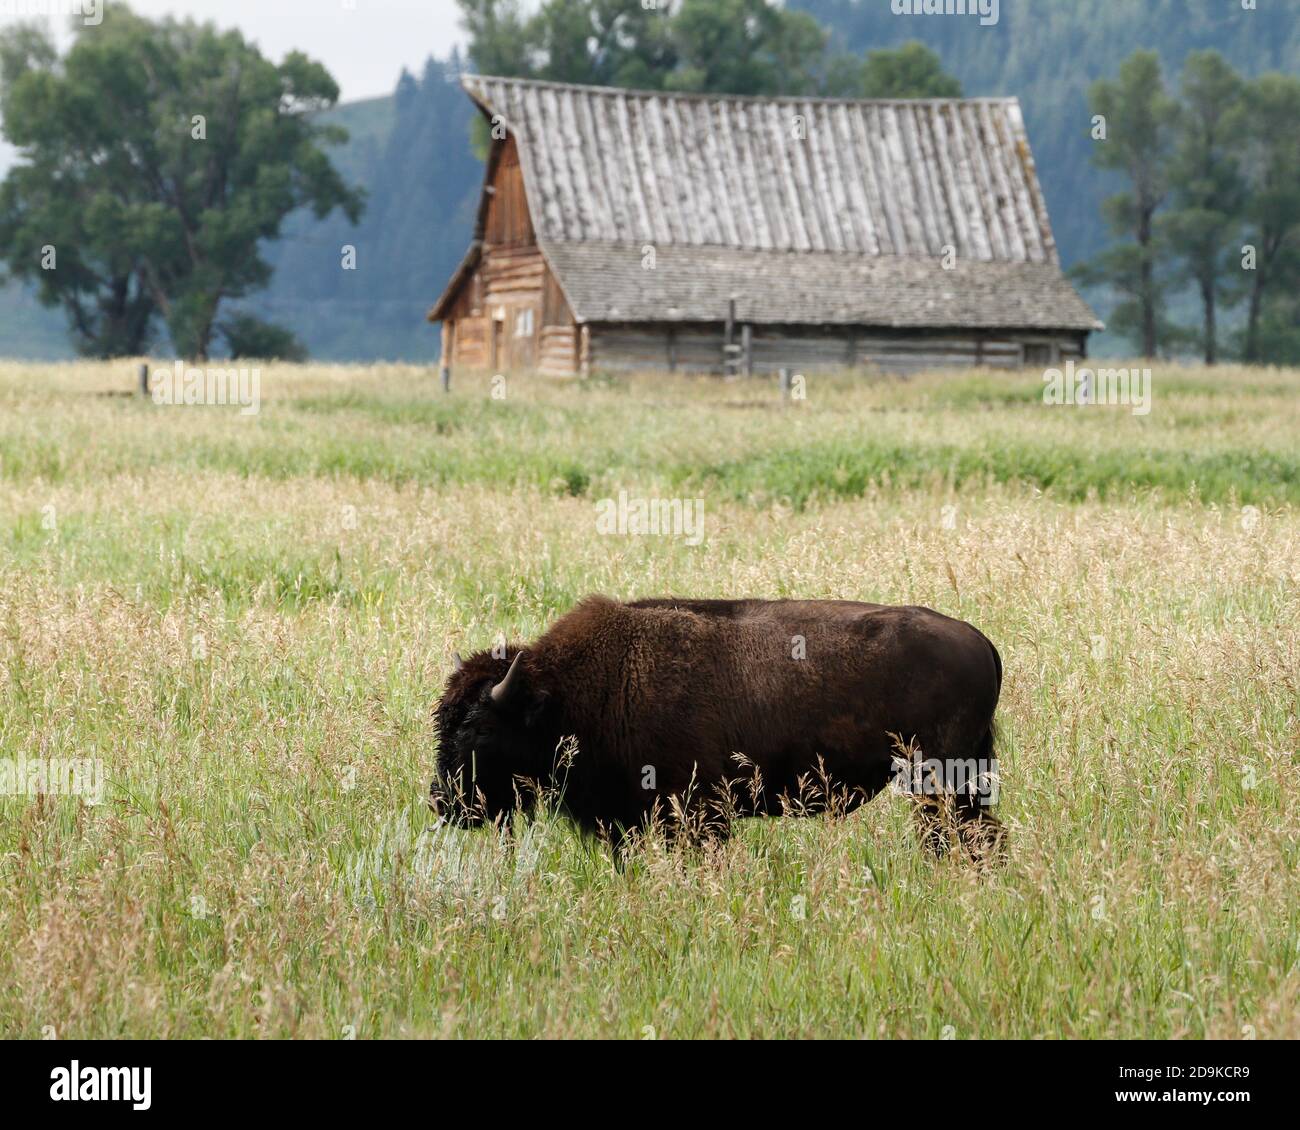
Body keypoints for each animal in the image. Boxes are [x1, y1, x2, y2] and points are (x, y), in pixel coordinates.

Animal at [431, 596, 1004, 858]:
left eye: (479, 731)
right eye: (443, 724)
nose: (444, 804)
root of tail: (980, 641)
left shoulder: (700, 813)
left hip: (939, 783)